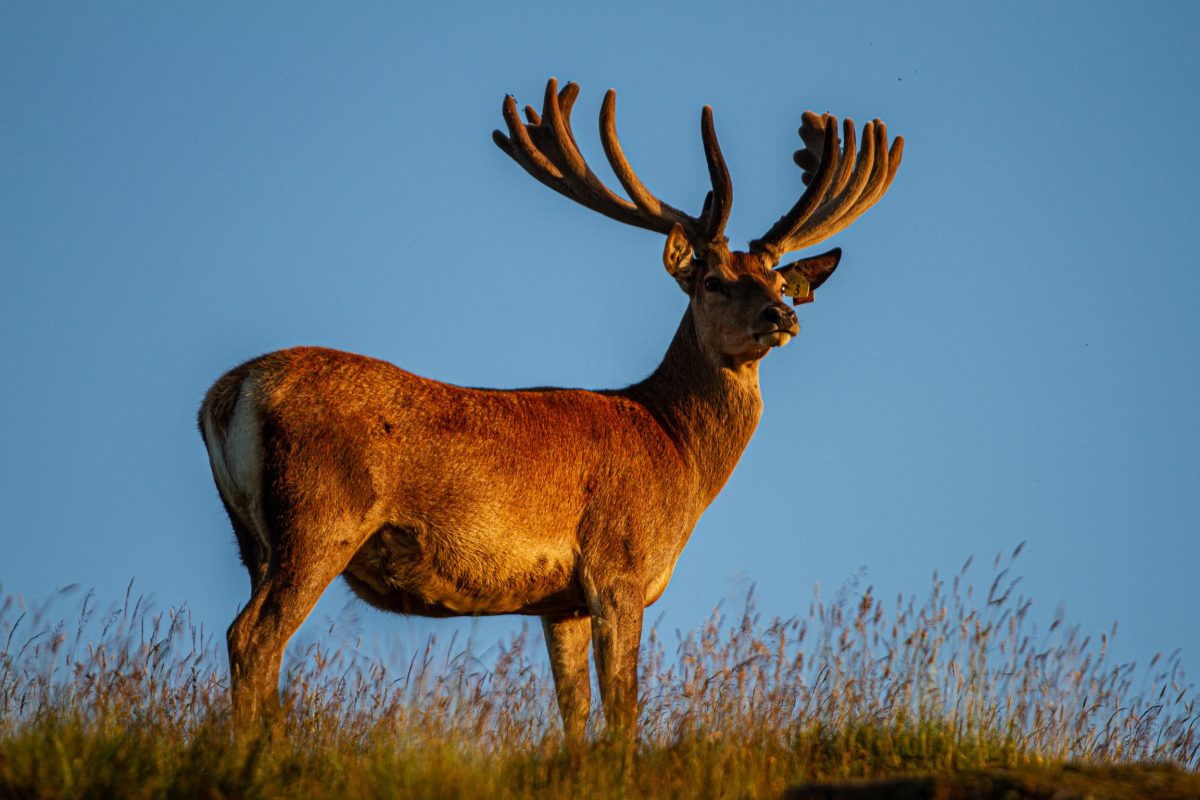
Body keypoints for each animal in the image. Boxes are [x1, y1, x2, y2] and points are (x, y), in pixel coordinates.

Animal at [198, 77, 902, 741]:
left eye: (781, 281)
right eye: (713, 281)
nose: (781, 315)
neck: (673, 447)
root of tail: (227, 394)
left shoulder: (559, 601)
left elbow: (574, 709)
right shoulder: (618, 567)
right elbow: (622, 705)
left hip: (253, 538)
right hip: (320, 517)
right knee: (253, 636)